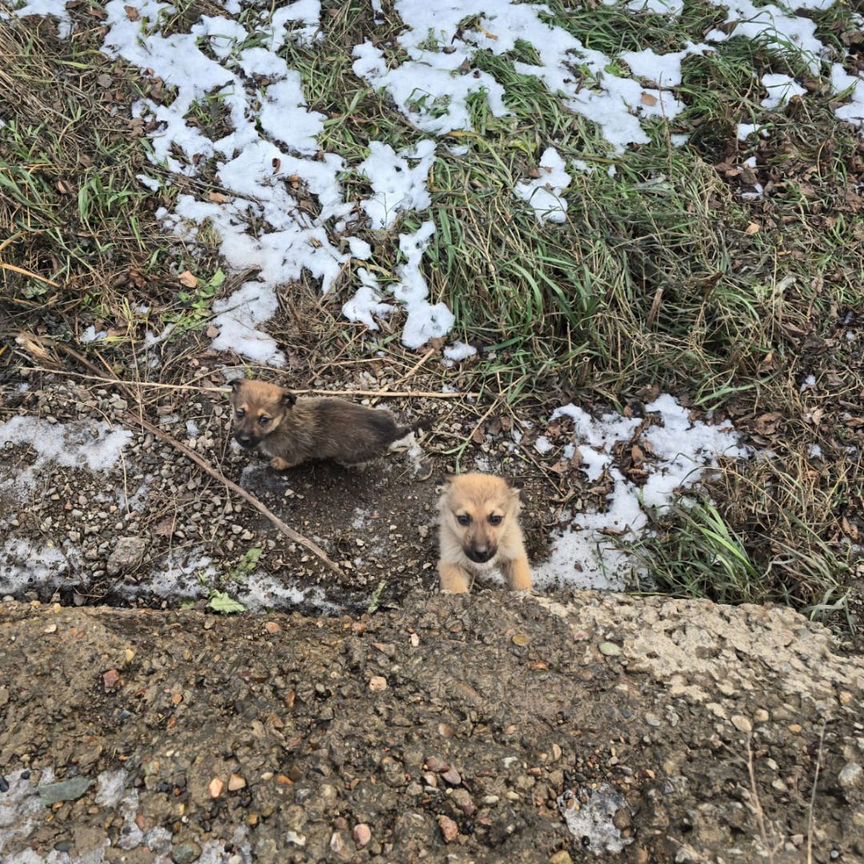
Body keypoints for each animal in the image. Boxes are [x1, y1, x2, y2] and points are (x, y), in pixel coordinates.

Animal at [228, 380, 420, 470]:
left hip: (352, 454)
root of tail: (392, 431)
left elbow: (289, 461)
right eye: (240, 413)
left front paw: (278, 463)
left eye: (264, 420)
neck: (282, 422)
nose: (243, 440)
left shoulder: (294, 454)